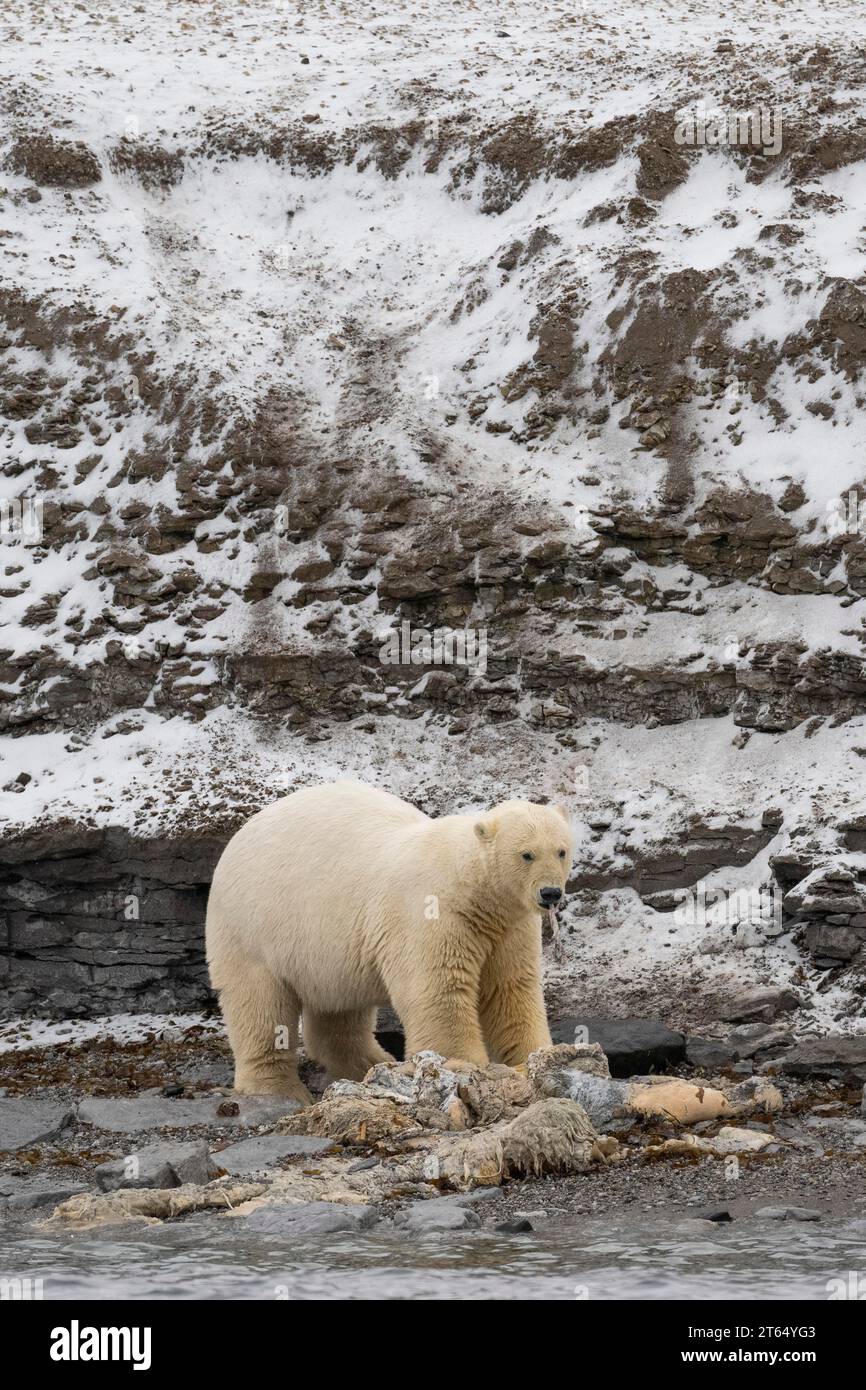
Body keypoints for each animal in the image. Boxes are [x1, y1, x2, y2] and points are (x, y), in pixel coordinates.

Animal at [205, 781, 572, 1101]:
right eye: (526, 854)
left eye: (561, 851)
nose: (550, 893)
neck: (470, 887)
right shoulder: (433, 914)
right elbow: (438, 989)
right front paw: (462, 1064)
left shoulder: (509, 926)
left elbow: (509, 989)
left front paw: (537, 1057)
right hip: (251, 928)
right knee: (259, 1004)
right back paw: (277, 1088)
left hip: (330, 951)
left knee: (339, 1013)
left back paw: (373, 1063)